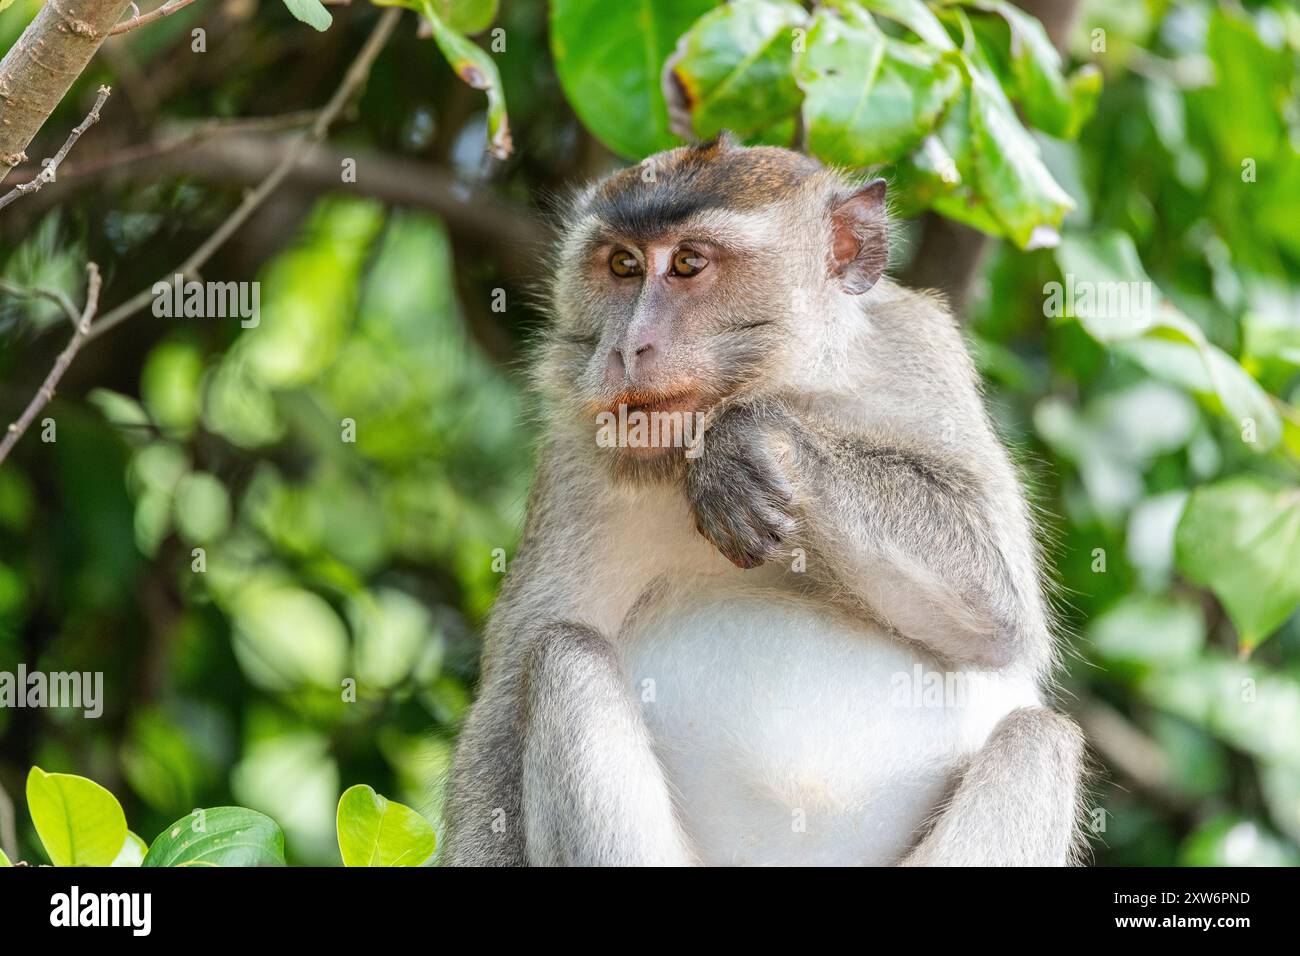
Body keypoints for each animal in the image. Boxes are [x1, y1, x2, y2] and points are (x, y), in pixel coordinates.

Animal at [442, 133, 1085, 867]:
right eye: (623, 265)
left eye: (688, 264)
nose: (626, 348)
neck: (791, 381)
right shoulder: (575, 464)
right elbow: (504, 706)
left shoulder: (922, 356)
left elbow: (999, 608)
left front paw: (741, 441)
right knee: (564, 656)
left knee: (1039, 739)